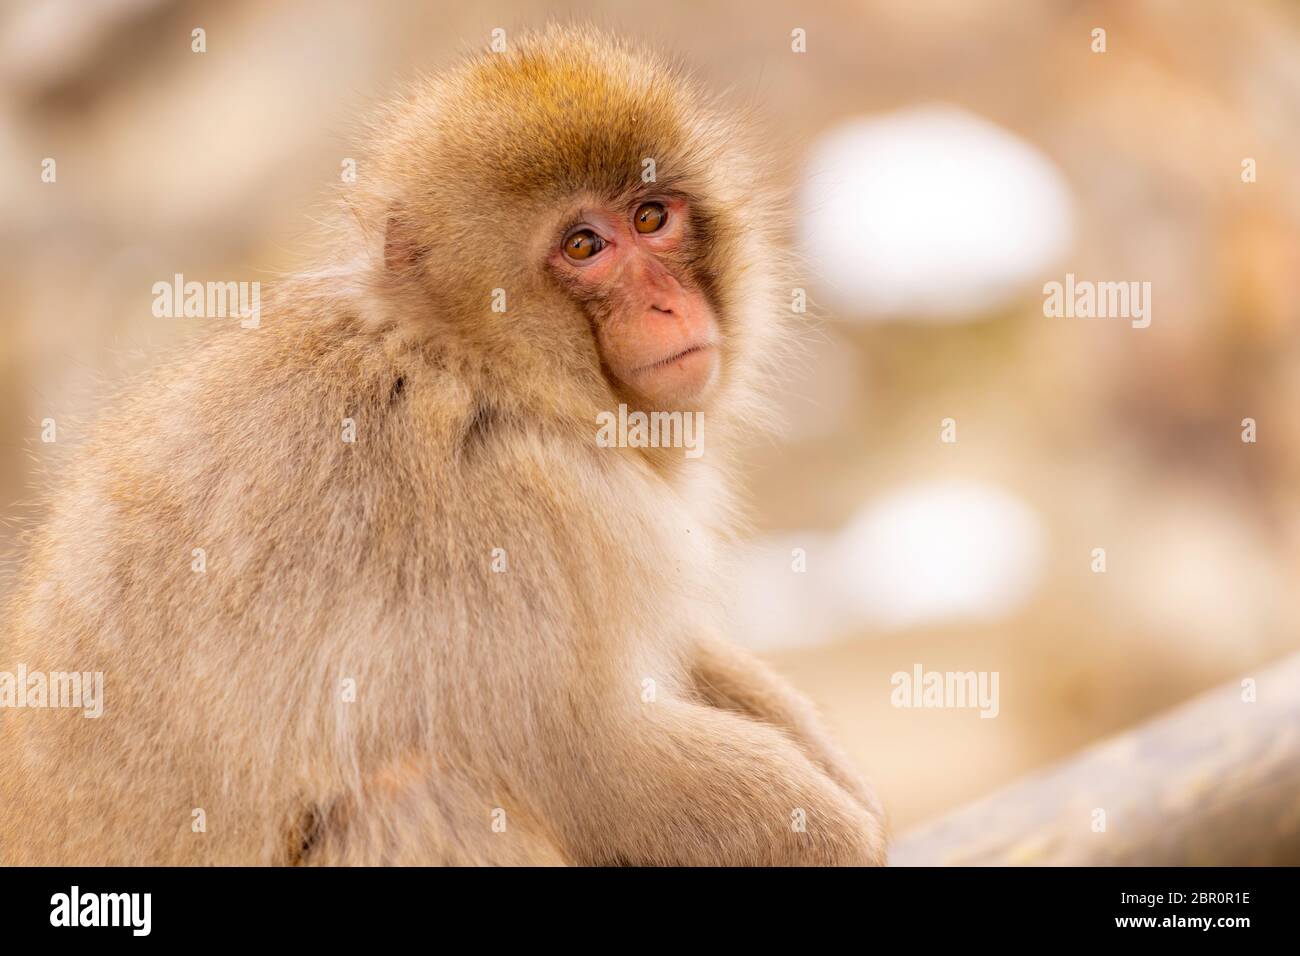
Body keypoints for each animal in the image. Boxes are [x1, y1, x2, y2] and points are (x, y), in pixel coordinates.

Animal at [0, 26, 886, 866]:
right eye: (583, 246)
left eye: (650, 217)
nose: (669, 306)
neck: (474, 363)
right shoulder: (512, 509)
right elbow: (584, 755)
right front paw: (841, 838)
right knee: (418, 794)